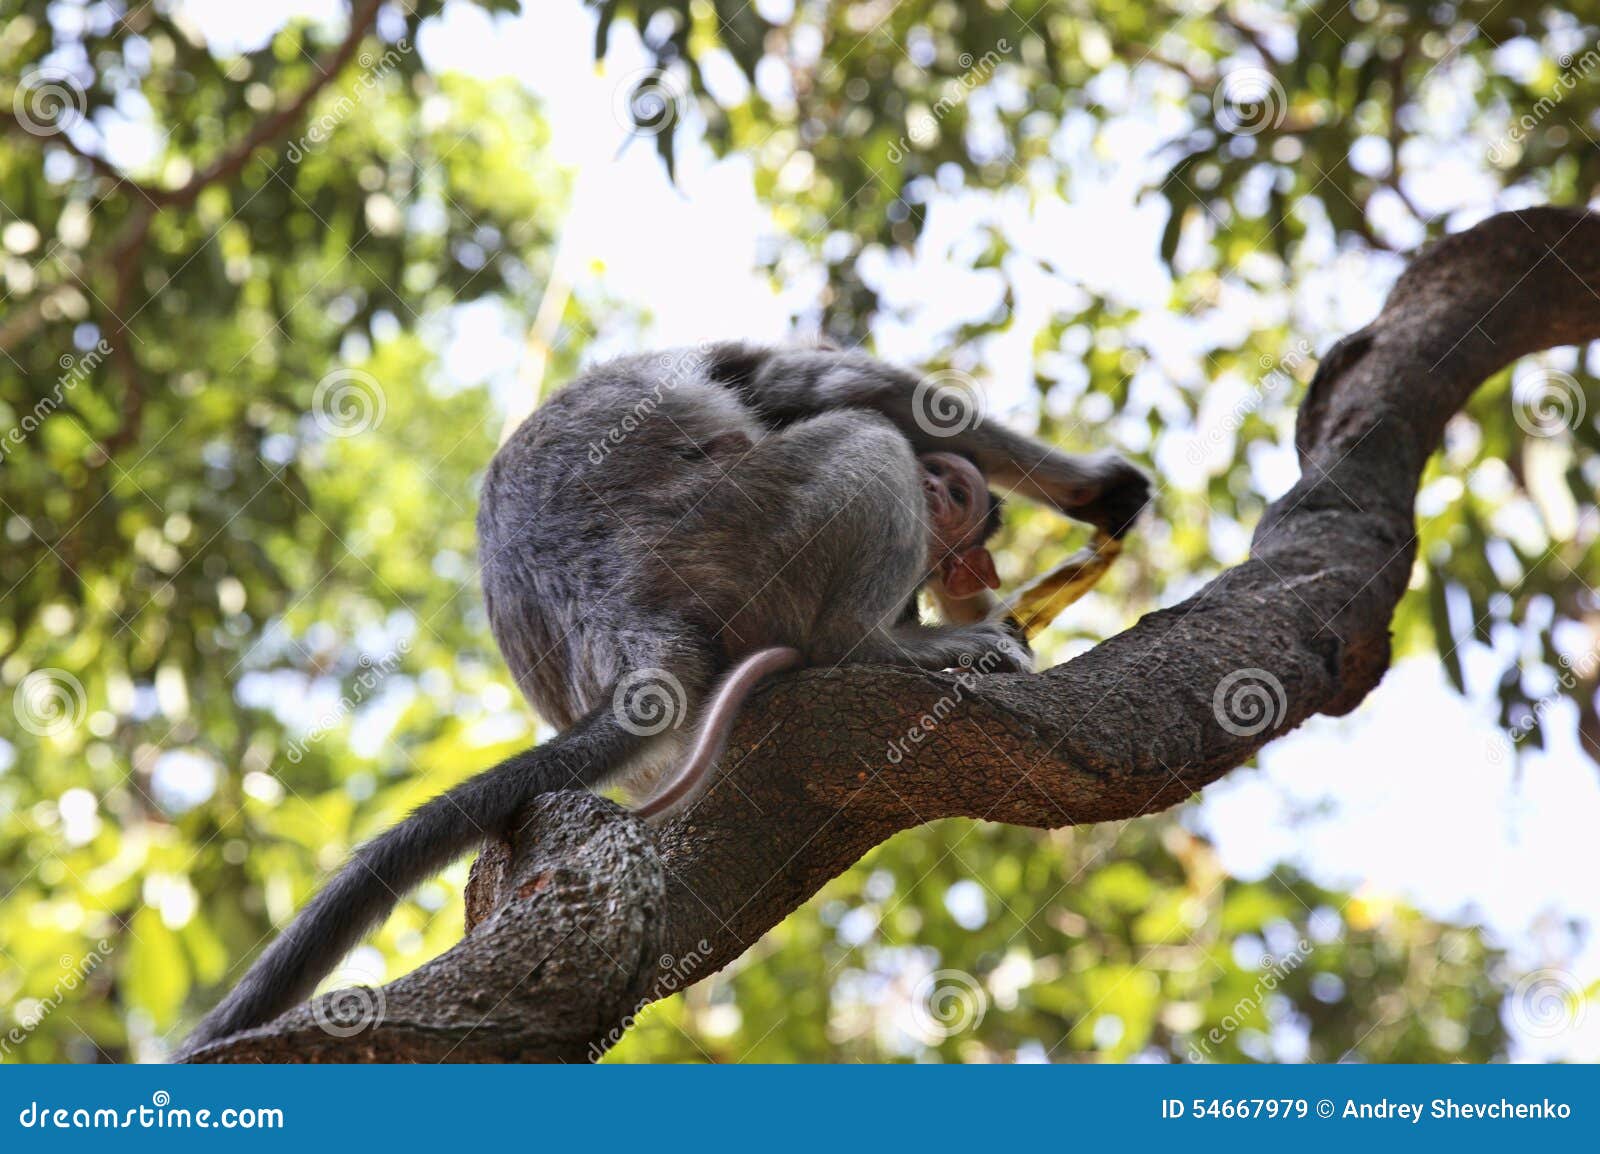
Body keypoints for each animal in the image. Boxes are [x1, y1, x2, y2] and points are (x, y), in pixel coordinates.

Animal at [180, 342, 1147, 1054]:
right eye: (961, 514)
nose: (974, 565)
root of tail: (629, 624)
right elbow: (855, 389)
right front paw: (1093, 486)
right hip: (747, 528)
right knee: (861, 433)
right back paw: (878, 641)